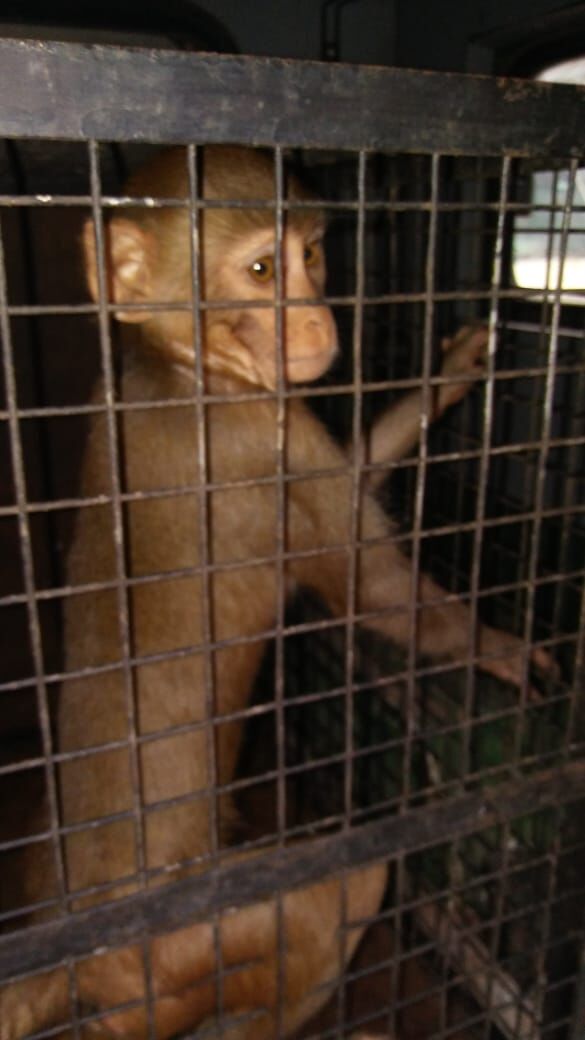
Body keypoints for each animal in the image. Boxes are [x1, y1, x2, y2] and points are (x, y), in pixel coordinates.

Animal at [0, 146, 554, 1040]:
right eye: (263, 270)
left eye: (314, 255)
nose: (321, 321)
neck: (185, 367)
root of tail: (75, 957)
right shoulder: (264, 437)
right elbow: (370, 585)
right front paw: (495, 648)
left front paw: (445, 379)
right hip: (184, 949)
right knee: (352, 881)